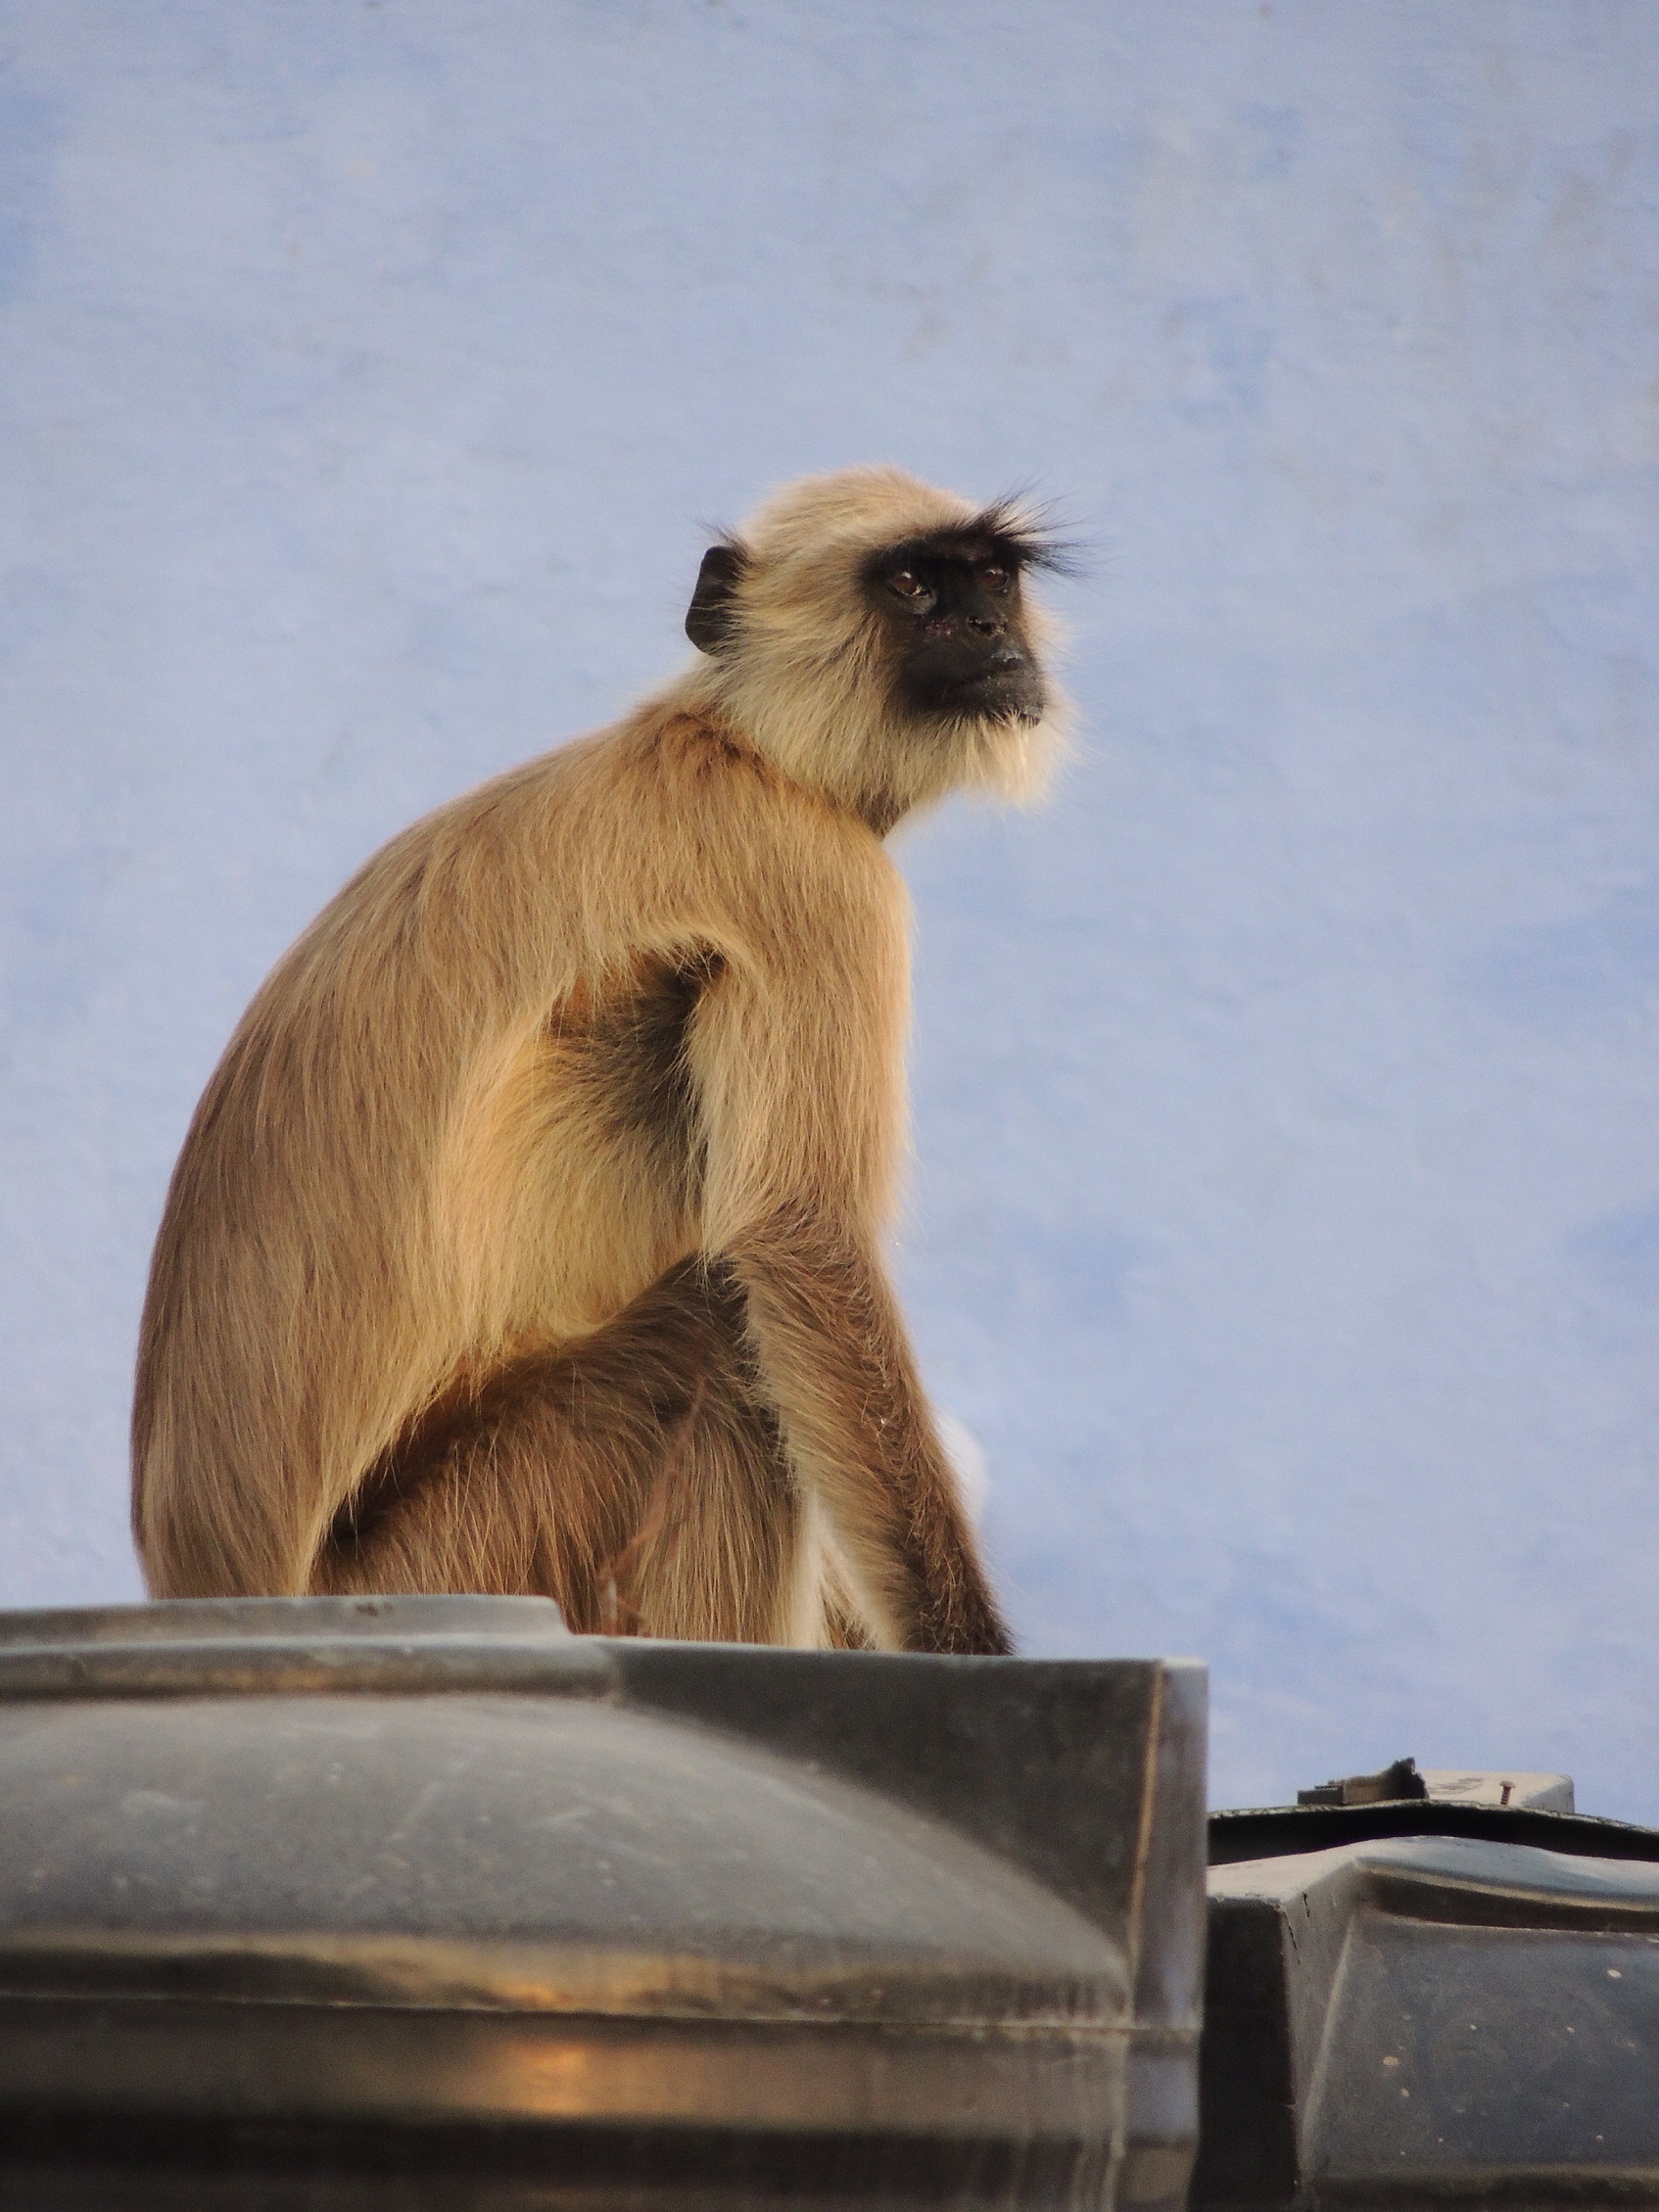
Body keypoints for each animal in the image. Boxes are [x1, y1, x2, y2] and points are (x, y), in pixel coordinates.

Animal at [131, 466, 1071, 1653]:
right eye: (912, 584)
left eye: (991, 578)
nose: (990, 628)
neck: (739, 748)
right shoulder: (816, 879)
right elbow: (796, 1241)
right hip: (474, 1544)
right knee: (720, 1331)